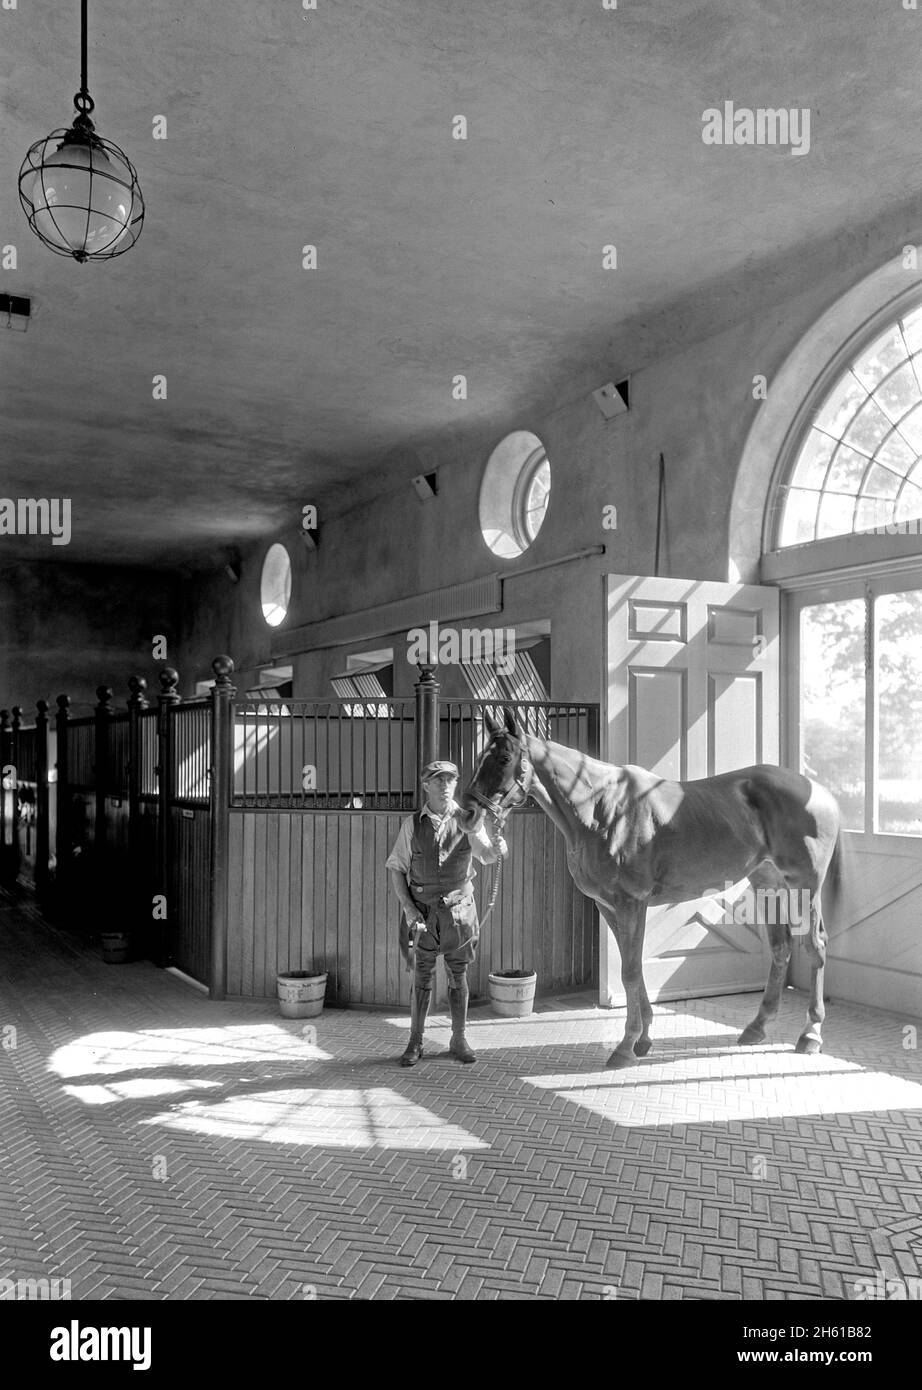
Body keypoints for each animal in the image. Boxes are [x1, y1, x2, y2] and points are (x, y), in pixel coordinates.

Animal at [461, 711, 845, 1067]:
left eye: (504, 758)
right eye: (480, 755)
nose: (467, 814)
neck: (601, 810)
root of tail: (820, 792)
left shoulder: (632, 903)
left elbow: (630, 972)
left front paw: (625, 1047)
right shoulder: (609, 907)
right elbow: (632, 969)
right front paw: (643, 1040)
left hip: (805, 885)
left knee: (815, 945)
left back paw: (810, 1035)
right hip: (768, 883)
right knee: (781, 948)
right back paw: (756, 1027)